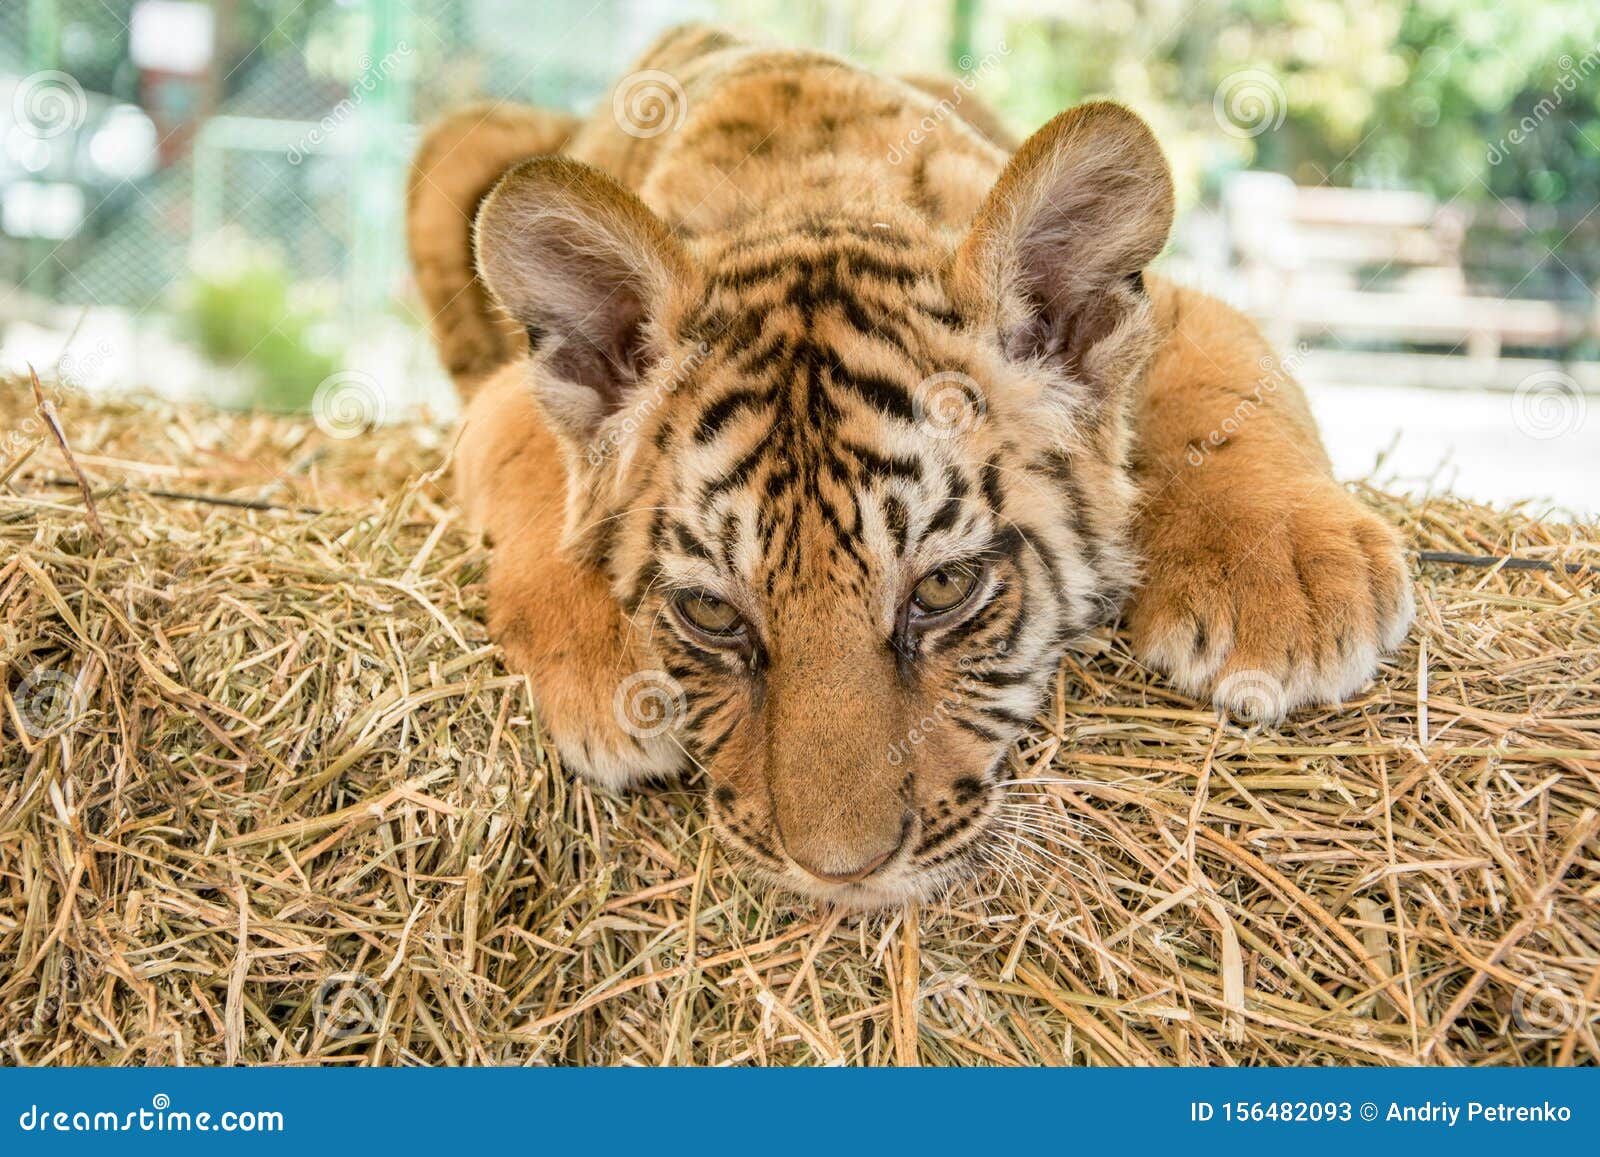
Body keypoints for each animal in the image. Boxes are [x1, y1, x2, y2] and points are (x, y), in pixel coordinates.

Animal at [406, 24, 1414, 907]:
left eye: (943, 589)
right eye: (710, 613)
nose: (844, 870)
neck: (812, 190)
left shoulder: (1174, 307)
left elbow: (1232, 388)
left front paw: (1285, 587)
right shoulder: (504, 395)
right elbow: (536, 470)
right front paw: (609, 677)